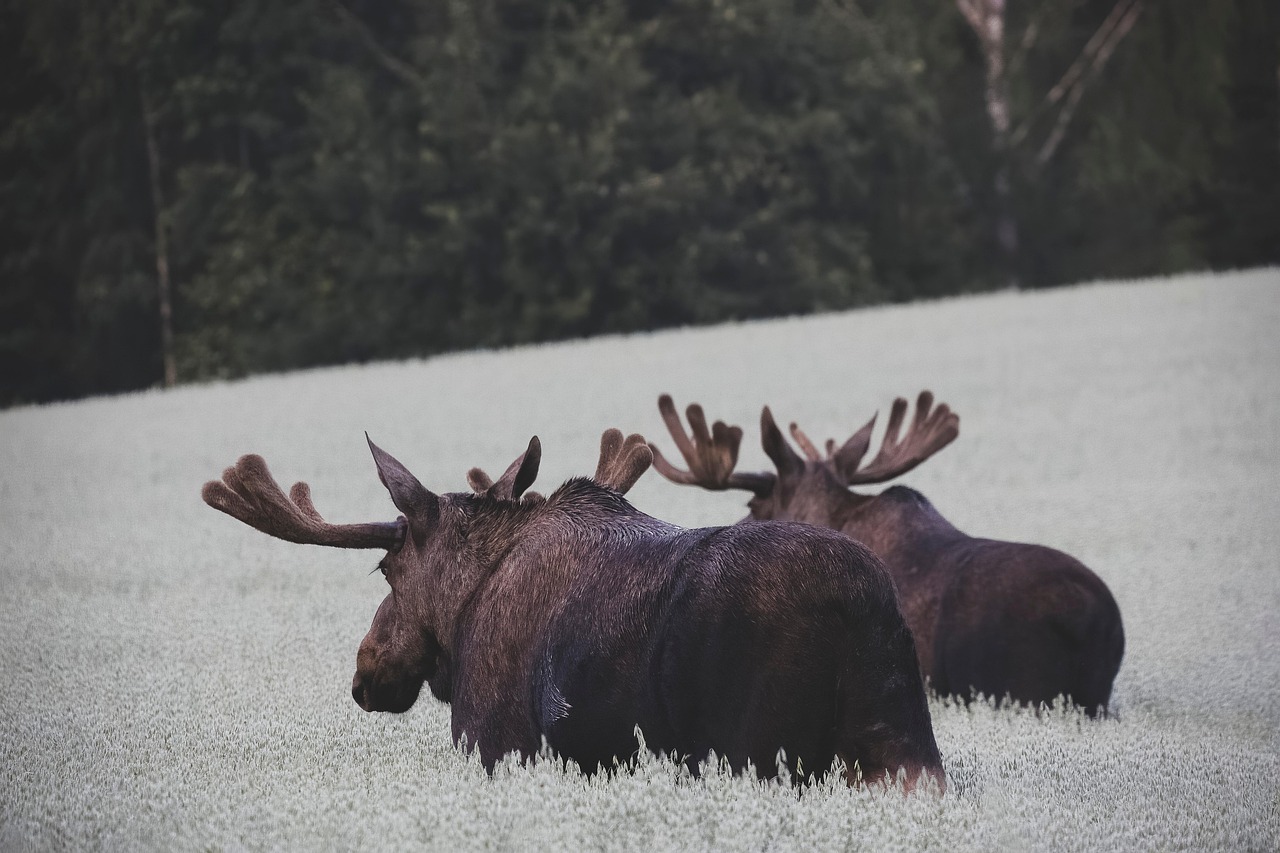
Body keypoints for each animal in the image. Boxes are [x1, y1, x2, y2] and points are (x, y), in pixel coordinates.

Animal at [202, 427, 945, 790]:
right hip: (905, 749)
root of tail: (862, 613)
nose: (366, 672)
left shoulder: (495, 740)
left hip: (758, 750)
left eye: (385, 568)